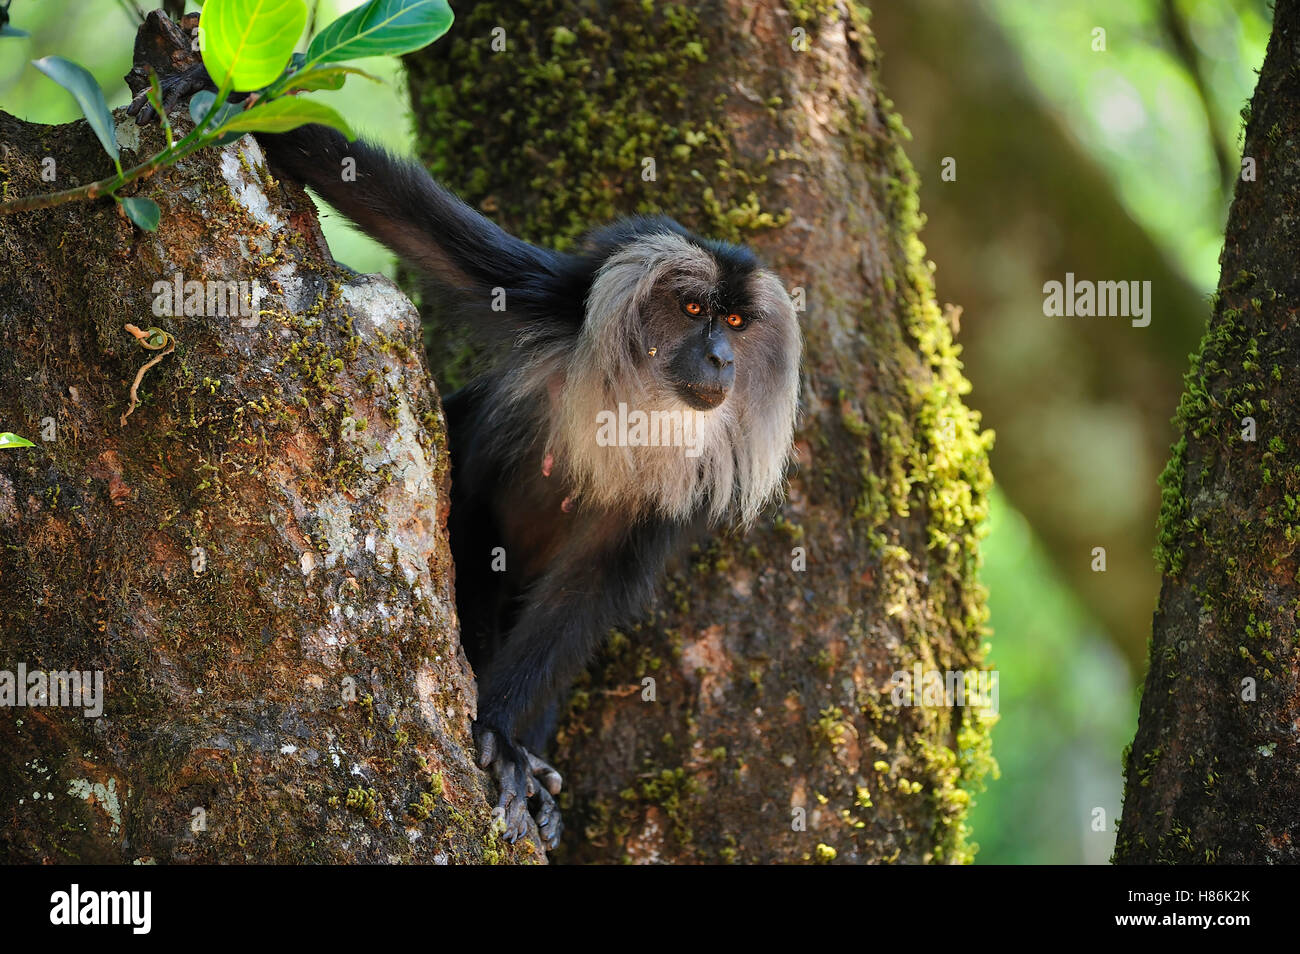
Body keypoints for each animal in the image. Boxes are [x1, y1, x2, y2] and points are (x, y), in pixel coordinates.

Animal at [132, 67, 801, 852]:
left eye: (736, 322)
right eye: (695, 311)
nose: (722, 359)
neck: (641, 403)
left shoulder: (680, 490)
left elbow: (586, 598)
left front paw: (507, 736)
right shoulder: (550, 303)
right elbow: (403, 215)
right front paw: (223, 93)